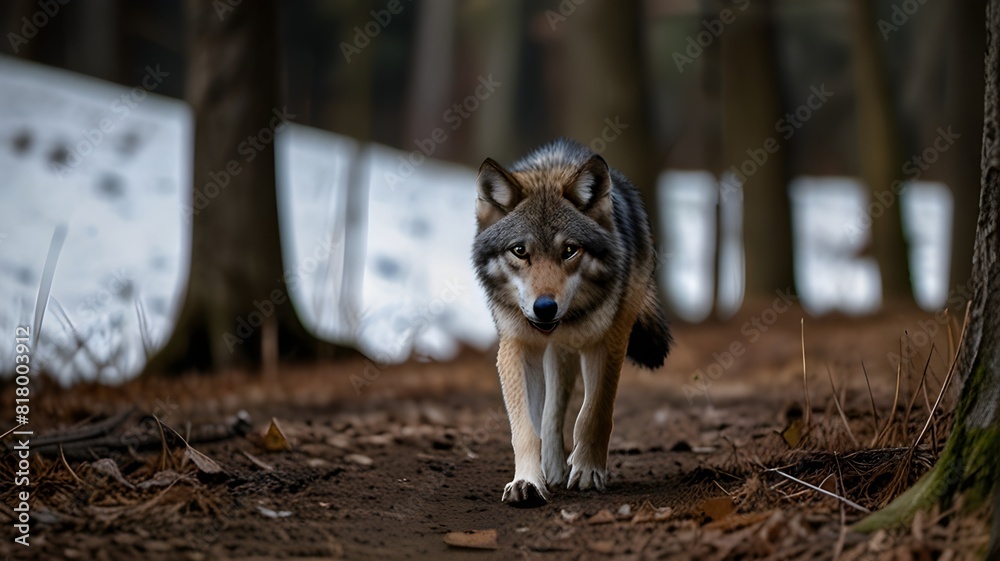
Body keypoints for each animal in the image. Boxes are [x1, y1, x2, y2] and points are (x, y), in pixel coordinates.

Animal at [472, 138, 672, 504]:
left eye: (569, 250)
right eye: (519, 251)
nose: (544, 308)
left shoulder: (608, 343)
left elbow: (593, 414)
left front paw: (588, 471)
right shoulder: (516, 347)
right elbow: (526, 429)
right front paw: (527, 481)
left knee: (563, 410)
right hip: (554, 355)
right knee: (551, 414)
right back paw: (550, 470)